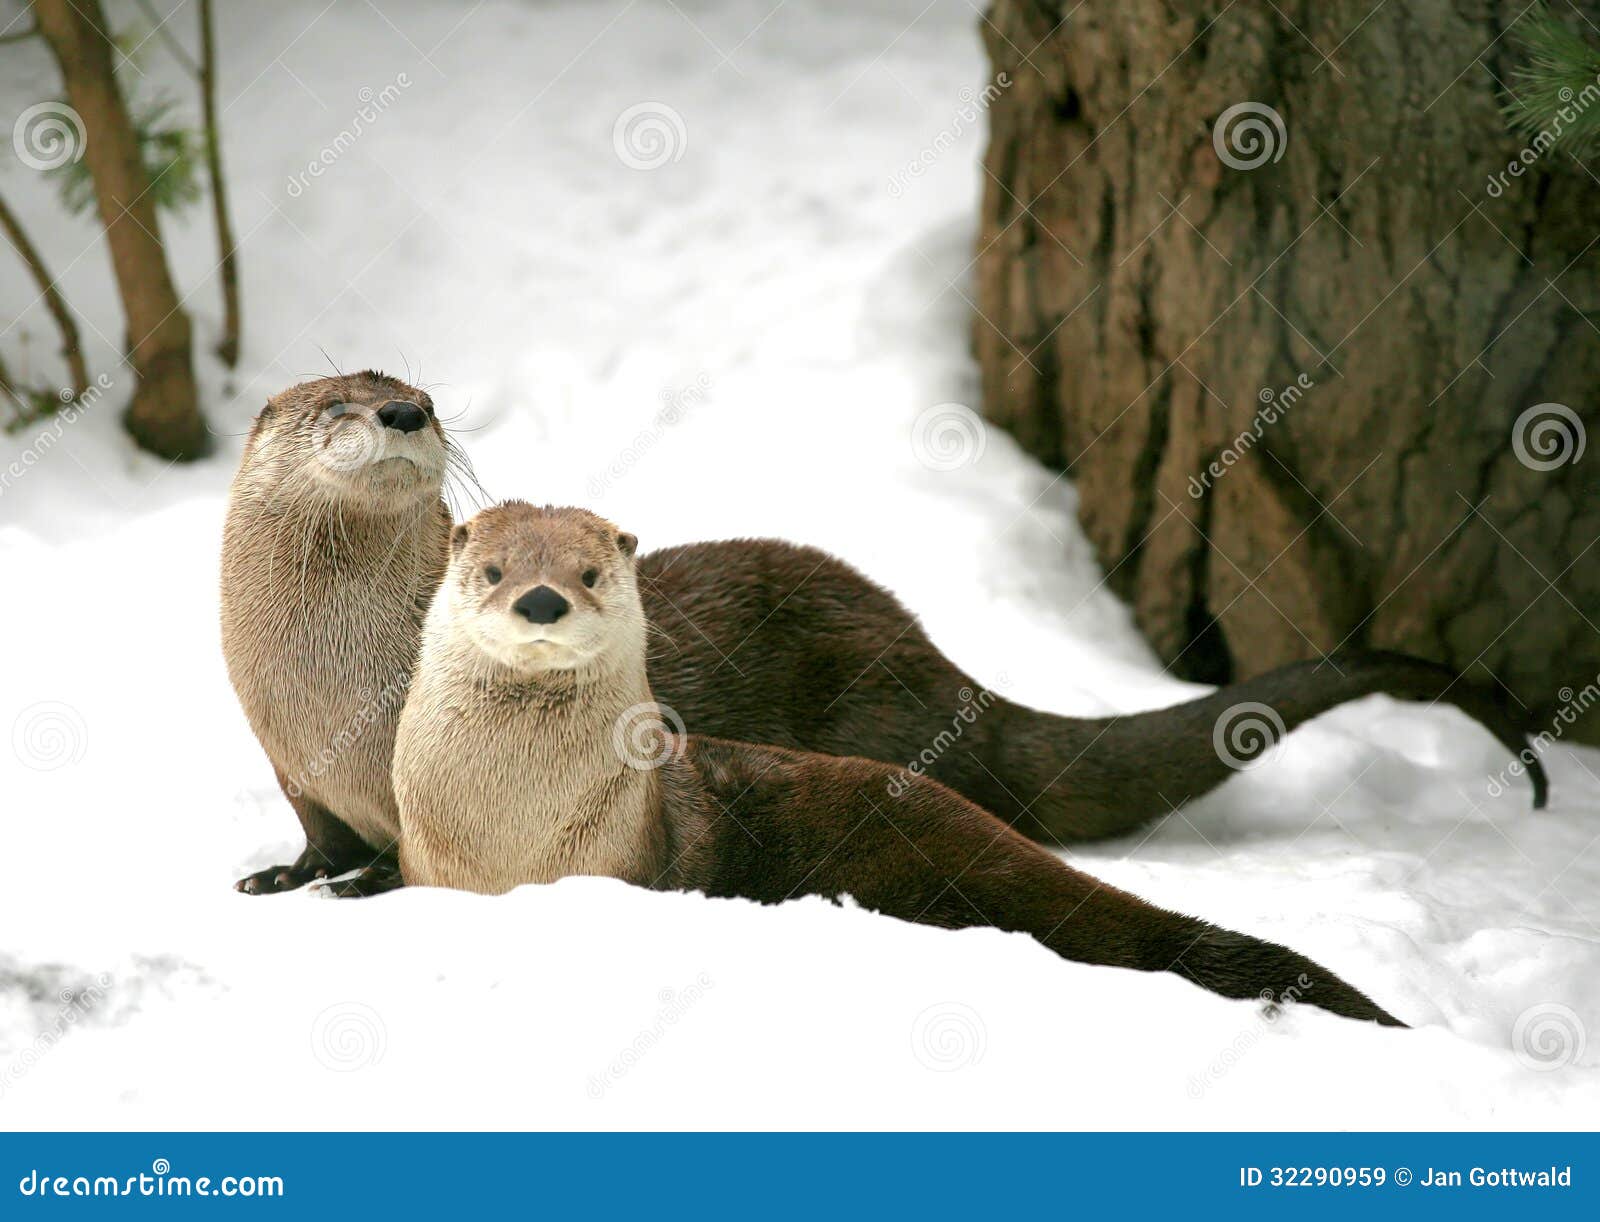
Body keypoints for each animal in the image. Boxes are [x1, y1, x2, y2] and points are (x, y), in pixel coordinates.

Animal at [222, 373, 1545, 893]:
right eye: (338, 403)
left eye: (418, 399)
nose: (403, 412)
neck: (329, 681)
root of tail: (946, 673)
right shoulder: (291, 764)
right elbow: (312, 835)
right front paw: (282, 874)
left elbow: (398, 856)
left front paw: (359, 888)